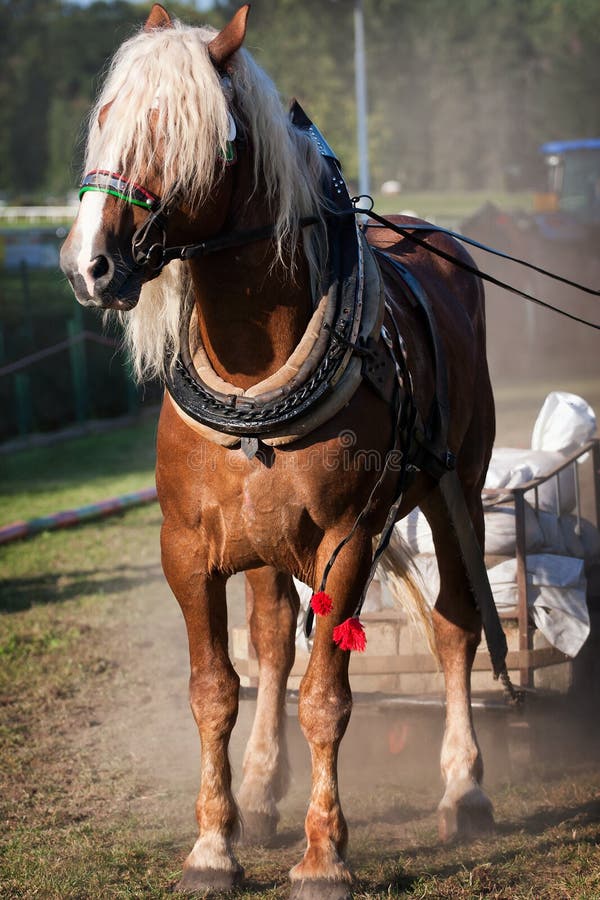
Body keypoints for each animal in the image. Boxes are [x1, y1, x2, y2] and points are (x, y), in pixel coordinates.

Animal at [60, 5, 496, 896]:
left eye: (180, 131)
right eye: (107, 115)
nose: (90, 265)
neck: (251, 365)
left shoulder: (346, 544)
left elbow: (326, 696)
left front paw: (323, 853)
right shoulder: (188, 548)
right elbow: (216, 687)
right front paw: (214, 844)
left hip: (457, 491)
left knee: (454, 626)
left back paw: (463, 788)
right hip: (261, 537)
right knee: (269, 639)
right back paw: (261, 790)